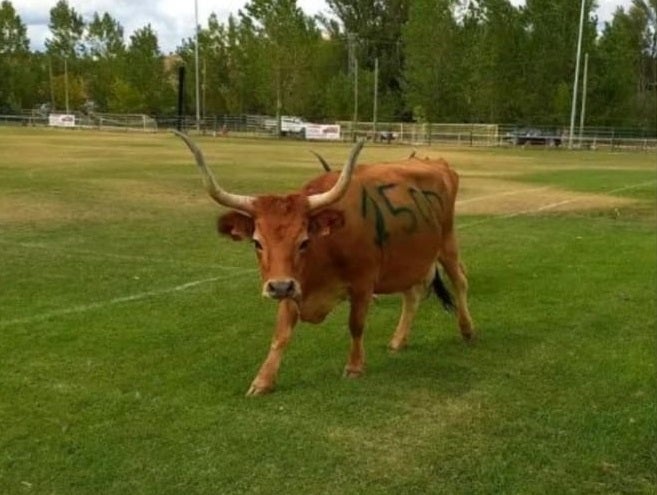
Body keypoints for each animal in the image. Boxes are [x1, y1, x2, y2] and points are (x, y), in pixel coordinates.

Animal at [173, 131, 474, 395]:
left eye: (304, 241)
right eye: (257, 243)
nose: (278, 287)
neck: (326, 251)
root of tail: (435, 162)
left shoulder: (363, 283)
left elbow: (356, 324)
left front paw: (354, 367)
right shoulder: (294, 285)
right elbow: (280, 334)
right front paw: (263, 381)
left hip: (447, 243)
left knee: (459, 281)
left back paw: (467, 329)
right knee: (412, 295)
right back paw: (399, 340)